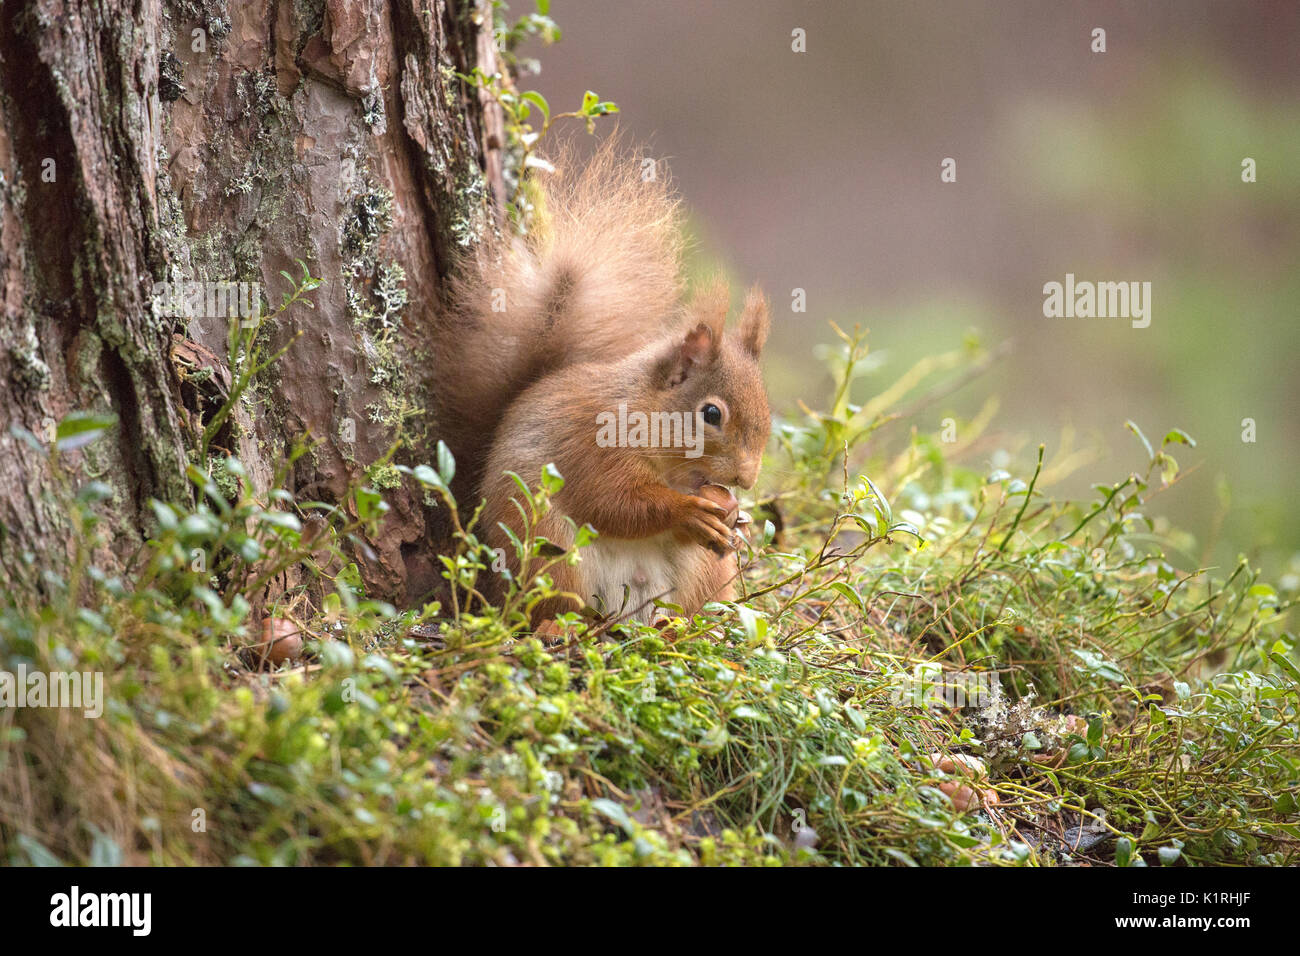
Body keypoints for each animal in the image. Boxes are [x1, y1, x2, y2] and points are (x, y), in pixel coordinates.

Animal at [433, 140, 771, 625]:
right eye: (711, 413)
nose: (746, 477)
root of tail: (624, 613)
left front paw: (734, 515)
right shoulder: (591, 444)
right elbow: (615, 503)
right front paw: (688, 512)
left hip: (705, 573)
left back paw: (681, 625)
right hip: (545, 546)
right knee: (551, 608)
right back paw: (562, 629)